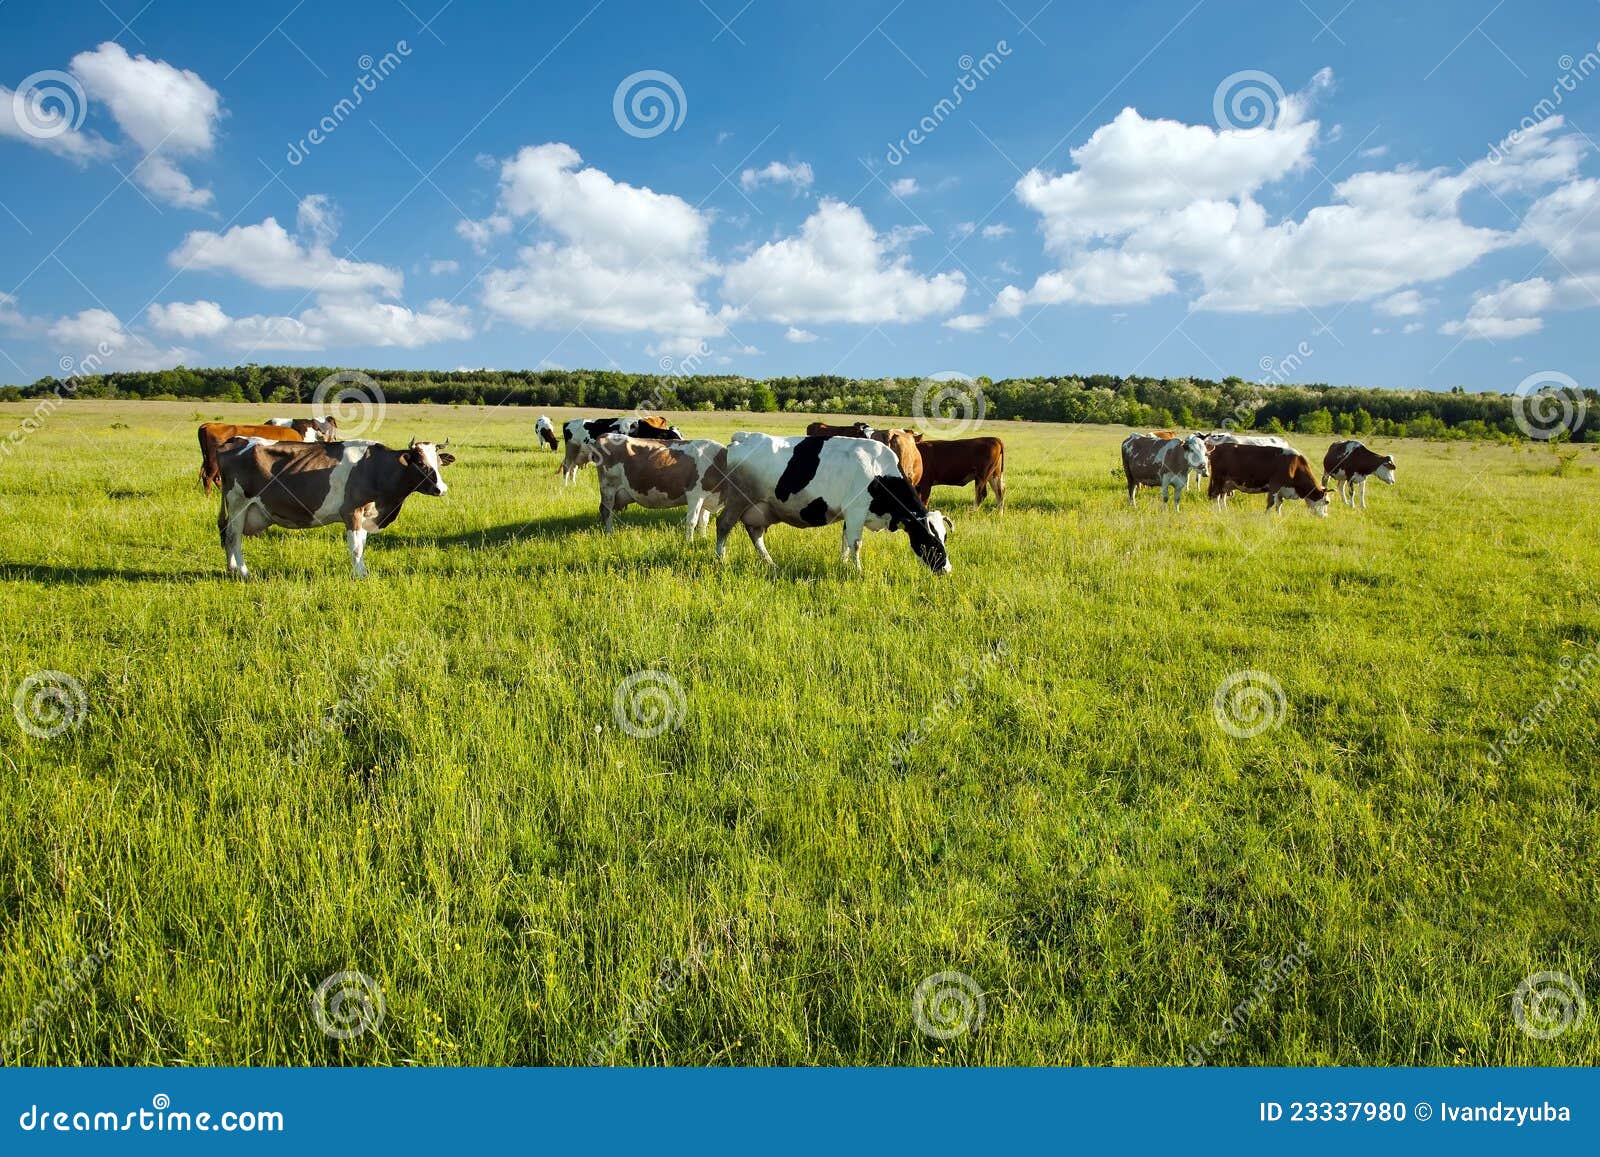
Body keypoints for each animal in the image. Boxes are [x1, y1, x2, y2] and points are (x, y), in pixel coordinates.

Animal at [216, 437, 454, 578]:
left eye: (439, 464)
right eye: (421, 464)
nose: (441, 489)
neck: (378, 469)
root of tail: (234, 441)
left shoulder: (366, 515)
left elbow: (362, 545)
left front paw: (362, 571)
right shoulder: (351, 512)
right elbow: (355, 546)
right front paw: (359, 576)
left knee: (227, 534)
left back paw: (232, 568)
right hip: (238, 503)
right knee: (233, 537)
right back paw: (243, 571)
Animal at [584, 433, 725, 538]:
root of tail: (605, 435)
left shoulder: (707, 496)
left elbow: (703, 521)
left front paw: (703, 538)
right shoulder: (694, 495)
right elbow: (692, 522)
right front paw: (689, 542)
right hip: (608, 488)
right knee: (606, 511)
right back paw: (610, 534)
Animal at [711, 433, 951, 574]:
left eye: (944, 537)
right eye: (931, 540)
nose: (947, 569)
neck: (878, 472)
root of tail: (744, 437)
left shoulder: (850, 514)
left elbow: (845, 540)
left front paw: (843, 564)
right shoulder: (856, 511)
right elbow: (856, 543)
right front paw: (858, 572)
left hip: (759, 507)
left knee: (755, 533)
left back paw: (771, 563)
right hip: (738, 499)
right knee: (723, 525)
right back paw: (721, 560)